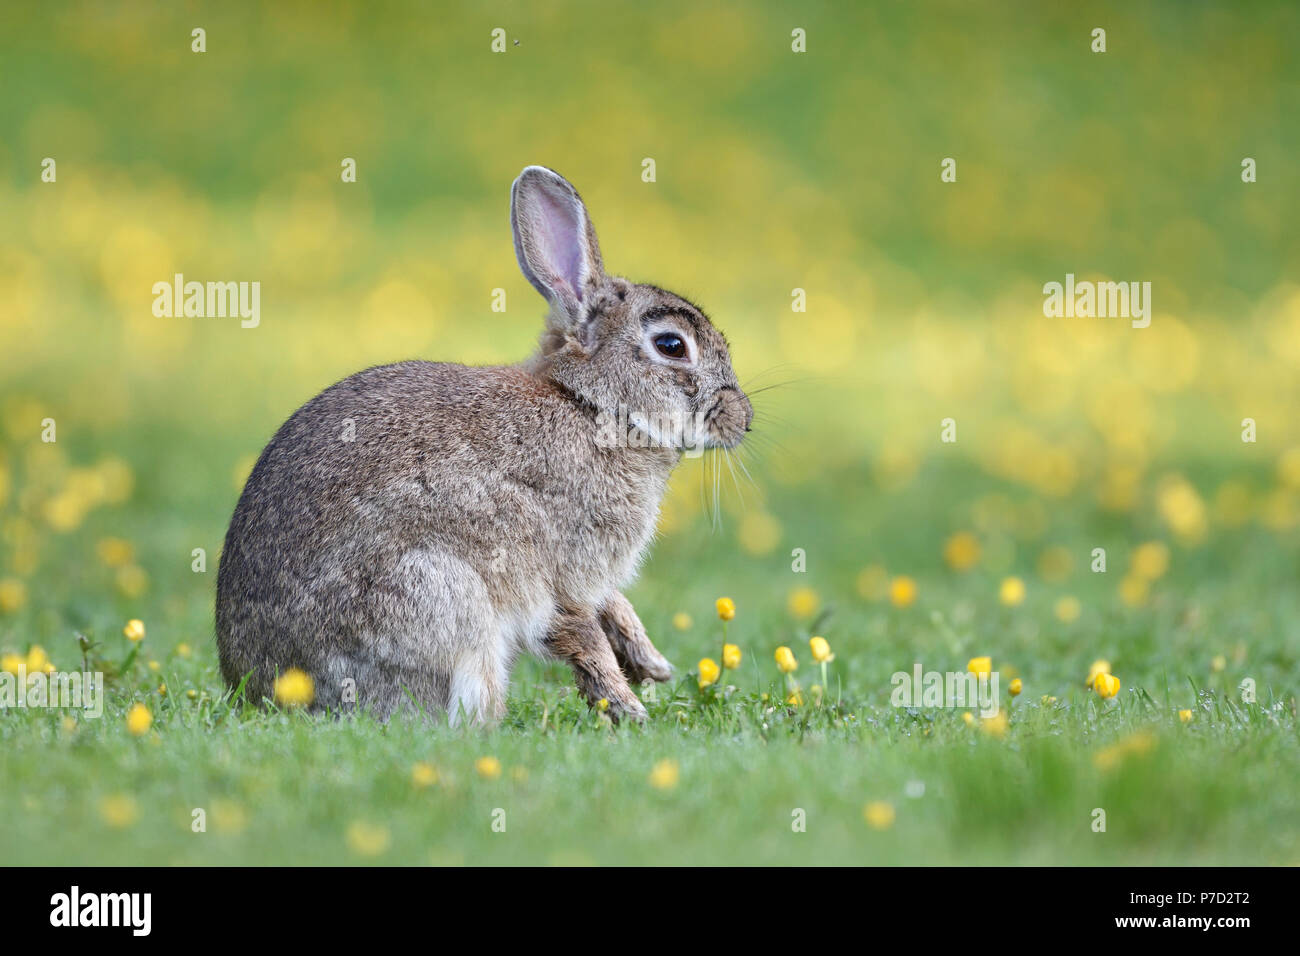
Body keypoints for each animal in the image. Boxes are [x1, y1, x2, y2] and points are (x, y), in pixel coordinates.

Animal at [215, 165, 752, 724]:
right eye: (671, 345)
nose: (742, 418)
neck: (590, 405)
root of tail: (270, 688)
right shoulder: (556, 576)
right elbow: (583, 638)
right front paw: (630, 708)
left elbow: (614, 610)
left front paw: (651, 665)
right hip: (440, 597)